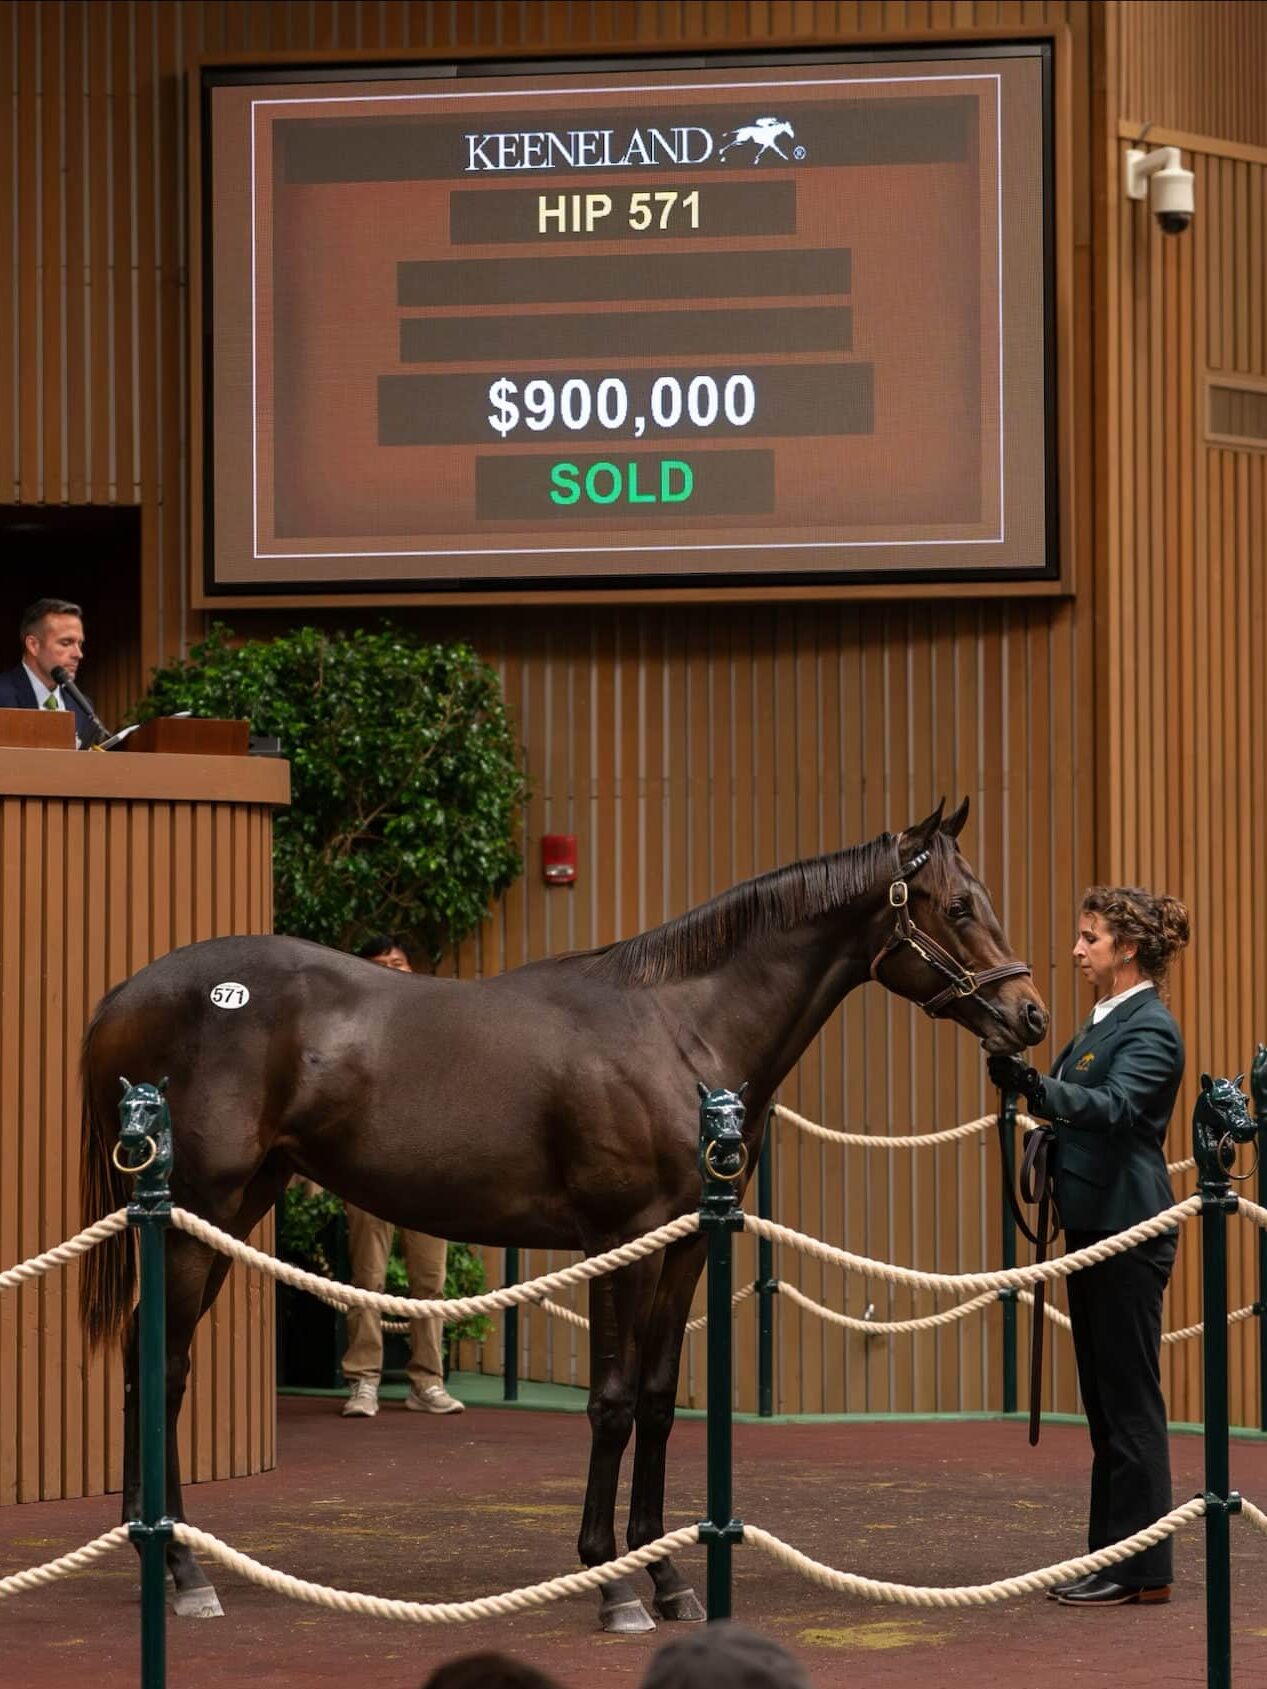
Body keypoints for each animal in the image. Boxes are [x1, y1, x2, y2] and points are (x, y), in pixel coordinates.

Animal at [79, 798, 1048, 1631]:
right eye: (958, 906)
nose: (1029, 1015)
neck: (678, 1030)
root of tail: (125, 994)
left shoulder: (683, 1245)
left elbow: (657, 1399)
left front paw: (667, 1577)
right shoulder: (619, 1241)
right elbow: (611, 1403)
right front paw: (610, 1582)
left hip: (231, 1209)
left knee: (150, 1354)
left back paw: (157, 1548)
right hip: (199, 1208)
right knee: (163, 1360)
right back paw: (182, 1570)